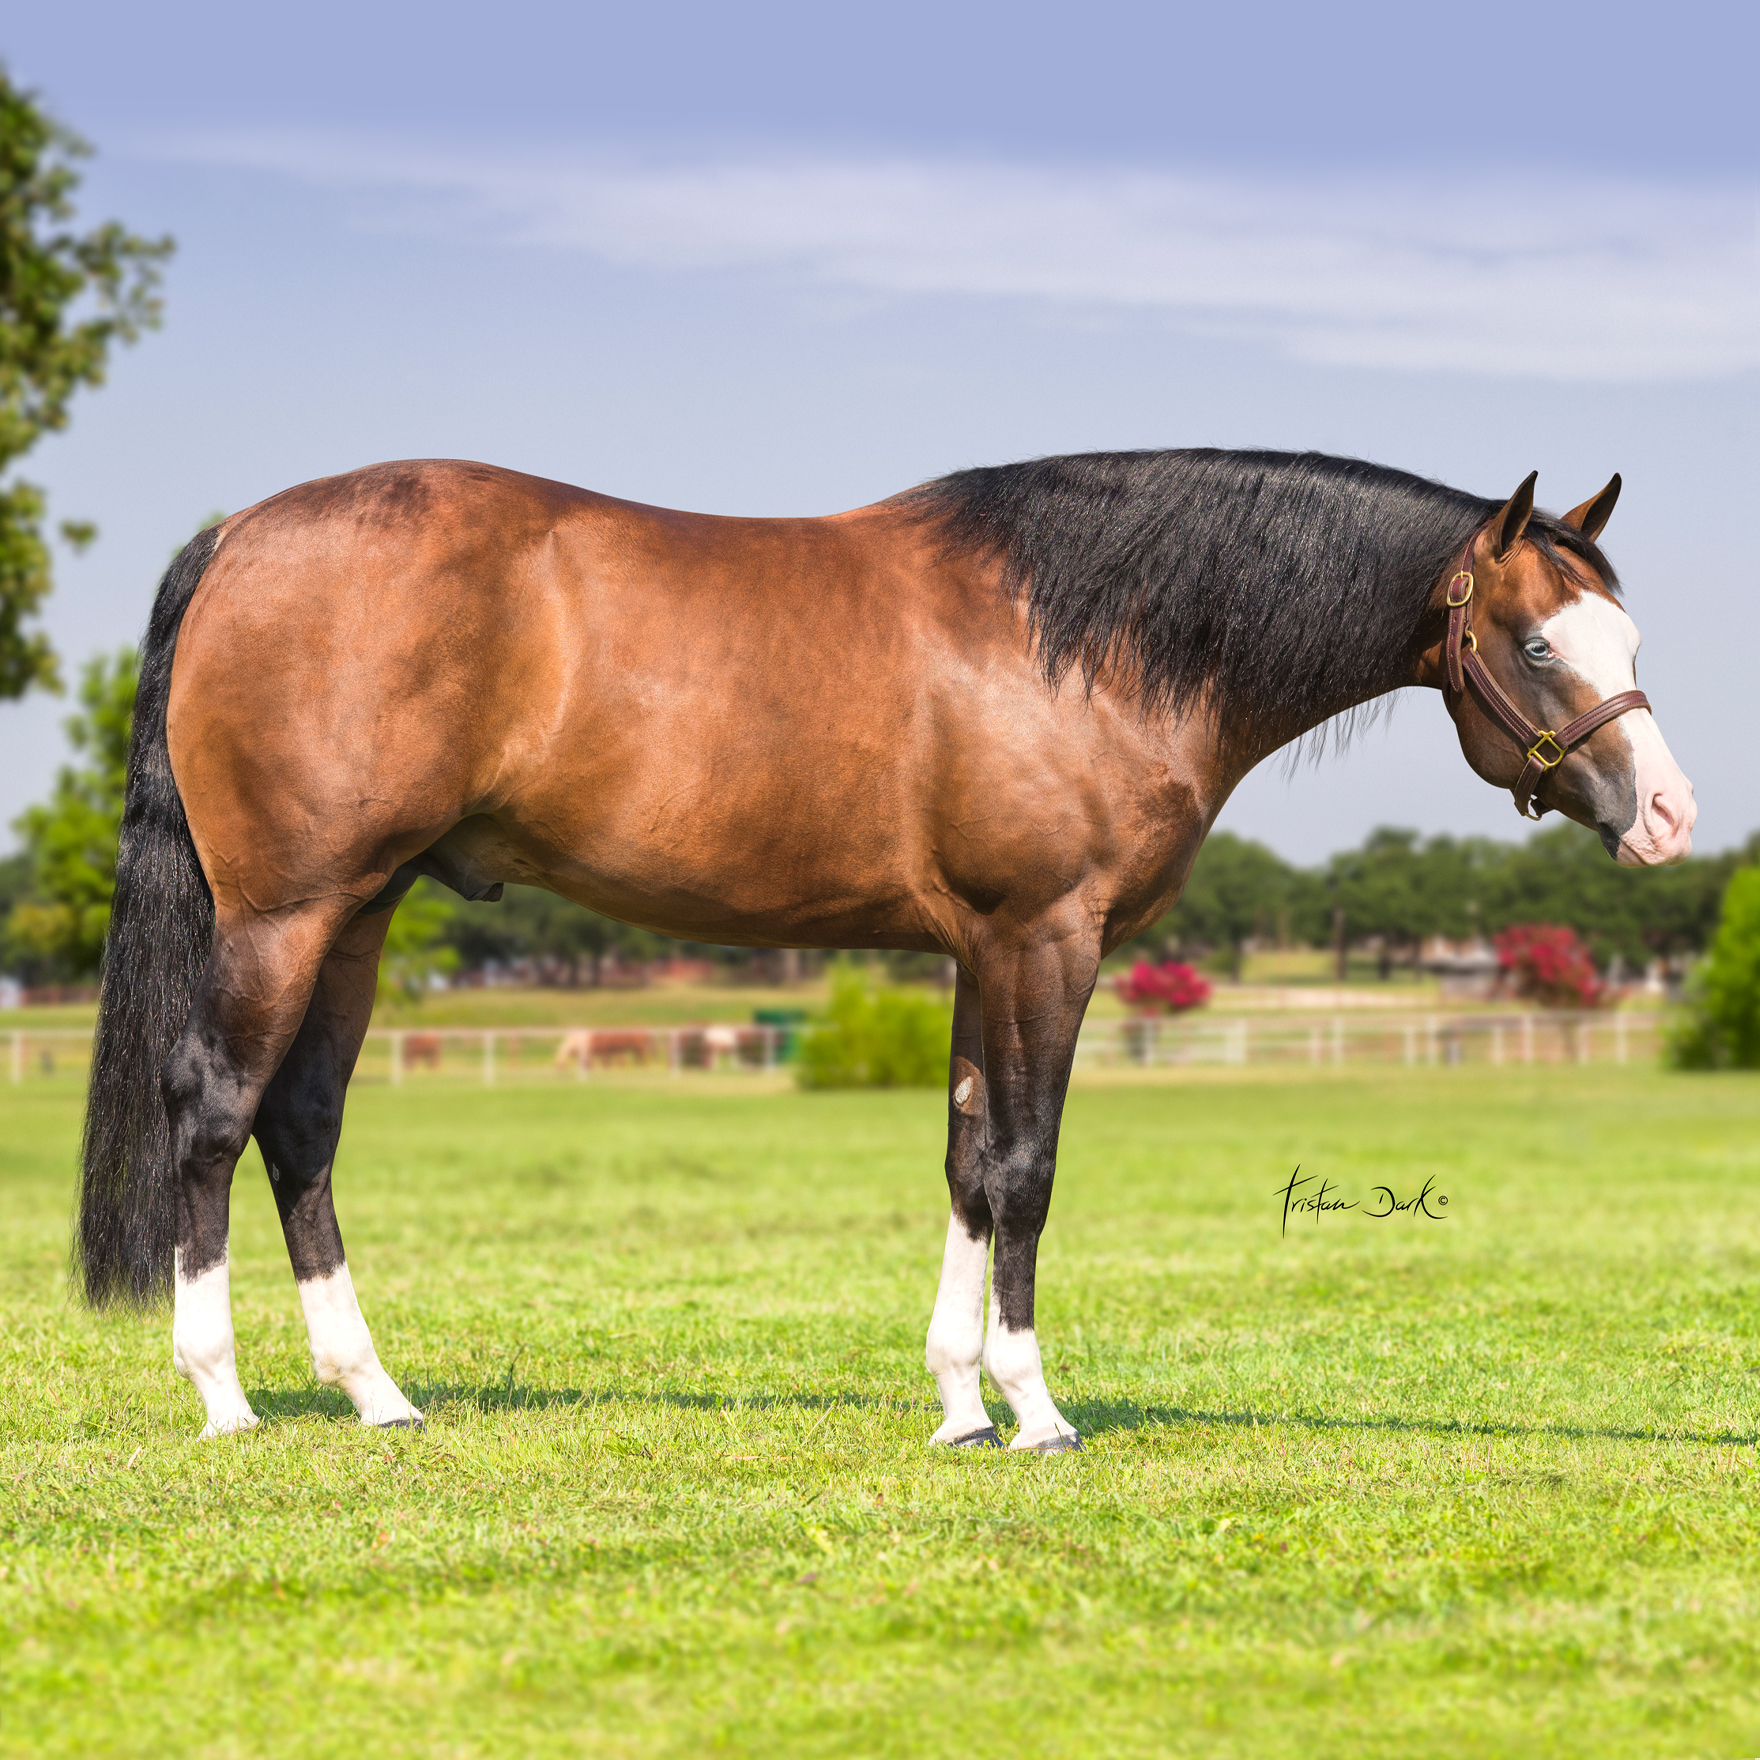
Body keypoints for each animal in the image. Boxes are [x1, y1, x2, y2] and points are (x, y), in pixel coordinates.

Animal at [77, 449, 1694, 1449]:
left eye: (1622, 638)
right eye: (1537, 645)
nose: (1670, 815)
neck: (1080, 637)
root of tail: (242, 534)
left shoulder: (982, 950)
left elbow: (970, 1163)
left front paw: (961, 1404)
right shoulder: (1046, 938)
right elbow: (1027, 1169)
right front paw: (1038, 1413)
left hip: (361, 911)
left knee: (301, 1126)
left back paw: (375, 1392)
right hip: (287, 912)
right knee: (212, 1111)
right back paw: (224, 1397)